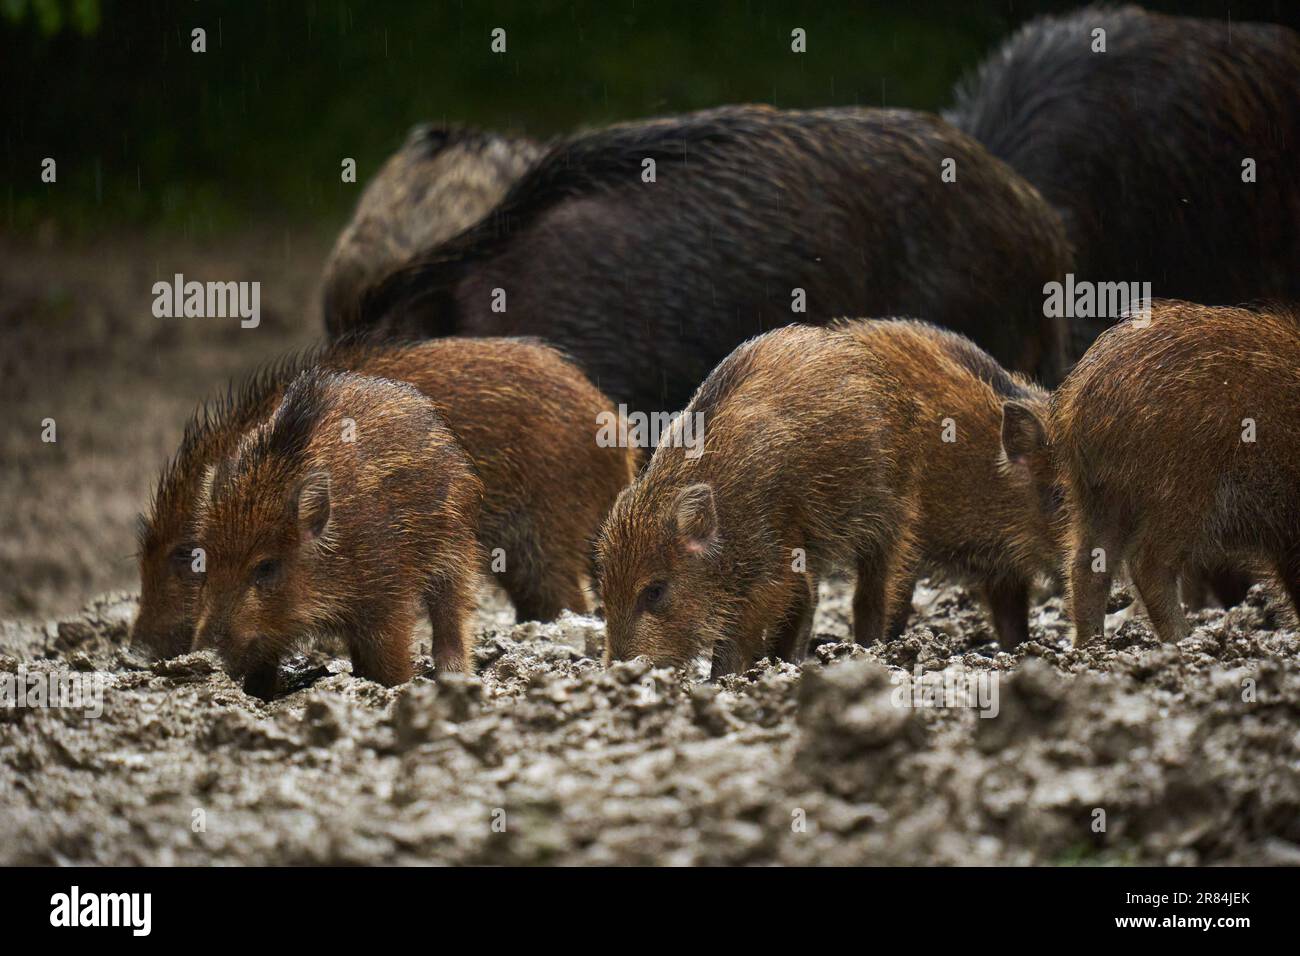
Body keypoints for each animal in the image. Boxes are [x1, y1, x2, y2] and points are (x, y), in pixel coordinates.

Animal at [192, 369, 483, 688]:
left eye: (266, 567)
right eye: (205, 567)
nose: (206, 655)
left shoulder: (386, 599)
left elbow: (392, 661)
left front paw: (397, 687)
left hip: (456, 548)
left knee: (451, 614)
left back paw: (454, 675)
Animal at [1002, 300, 1300, 644]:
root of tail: (1077, 403)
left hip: (1098, 496)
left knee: (1085, 565)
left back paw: (1090, 642)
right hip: (1182, 487)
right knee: (1148, 563)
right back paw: (1183, 637)